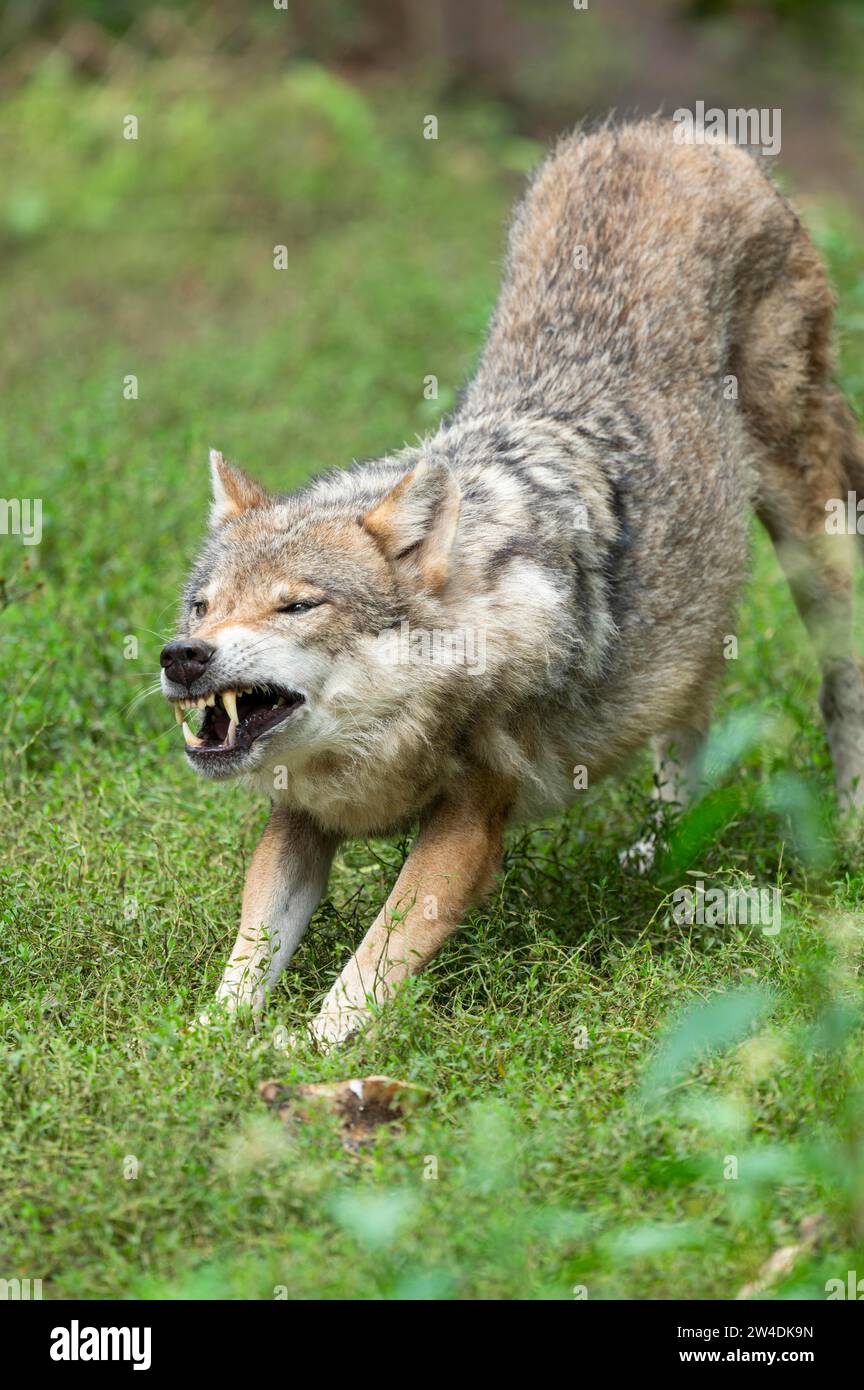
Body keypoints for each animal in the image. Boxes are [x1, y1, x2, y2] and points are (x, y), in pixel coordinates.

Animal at [160, 120, 864, 1047]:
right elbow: (249, 951)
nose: (182, 656)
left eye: (298, 605)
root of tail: (668, 128)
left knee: (839, 686)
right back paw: (660, 848)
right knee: (694, 705)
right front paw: (206, 1045)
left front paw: (306, 1052)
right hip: (691, 608)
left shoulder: (470, 822)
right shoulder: (301, 818)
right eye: (203, 605)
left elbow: (372, 964)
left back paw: (848, 828)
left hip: (810, 536)